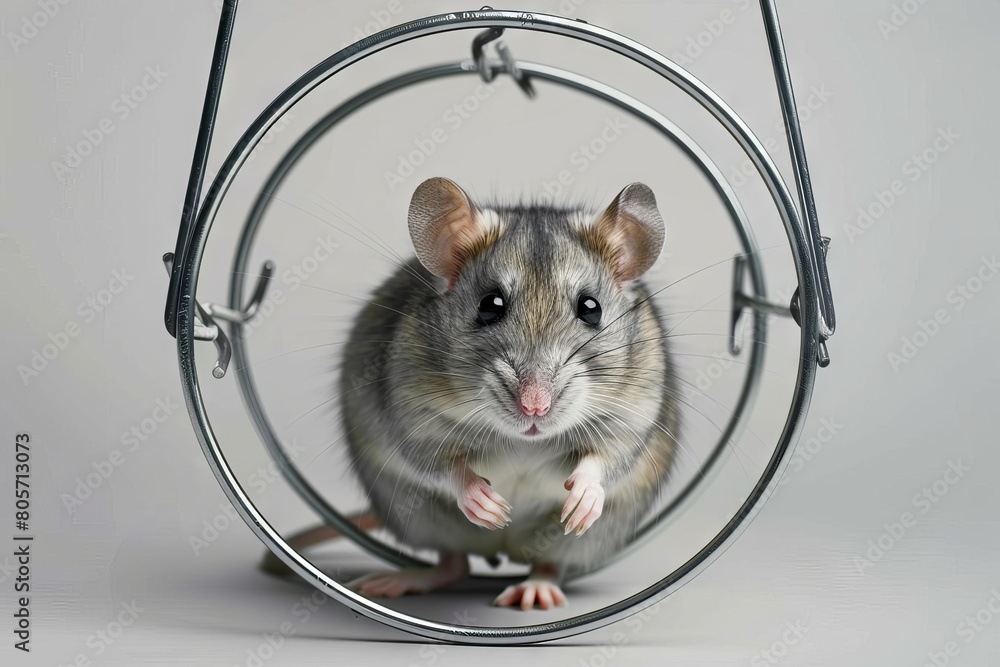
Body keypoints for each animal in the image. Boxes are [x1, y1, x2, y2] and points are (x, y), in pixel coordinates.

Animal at [340, 177, 680, 610]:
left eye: (591, 308)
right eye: (490, 305)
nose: (534, 407)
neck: (524, 440)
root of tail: (503, 550)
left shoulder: (633, 414)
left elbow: (605, 457)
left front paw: (582, 501)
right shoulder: (411, 414)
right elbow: (442, 463)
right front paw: (486, 503)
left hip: (581, 540)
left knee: (548, 562)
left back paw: (536, 591)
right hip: (419, 517)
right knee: (454, 564)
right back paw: (399, 579)